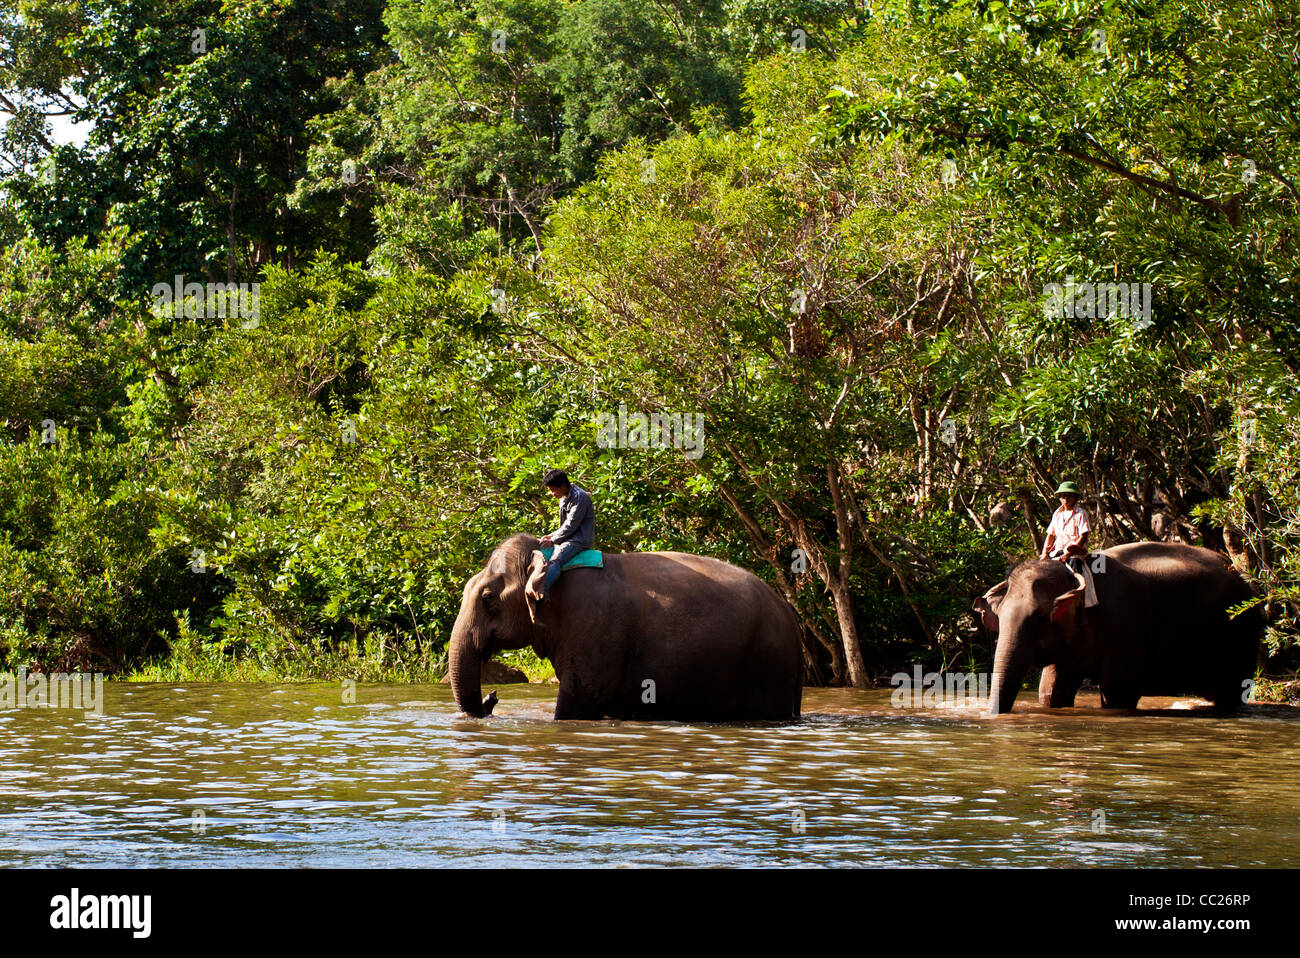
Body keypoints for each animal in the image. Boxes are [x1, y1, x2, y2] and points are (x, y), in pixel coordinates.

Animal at [448, 533, 803, 720]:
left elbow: (577, 701)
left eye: (488, 598)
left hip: (772, 665)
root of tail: (790, 613)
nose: (493, 696)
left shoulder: (594, 629)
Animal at [973, 542, 1262, 714]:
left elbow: (1118, 694)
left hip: (1241, 636)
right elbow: (1051, 691)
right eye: (998, 619)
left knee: (1230, 692)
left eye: (1038, 620)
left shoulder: (1124, 626)